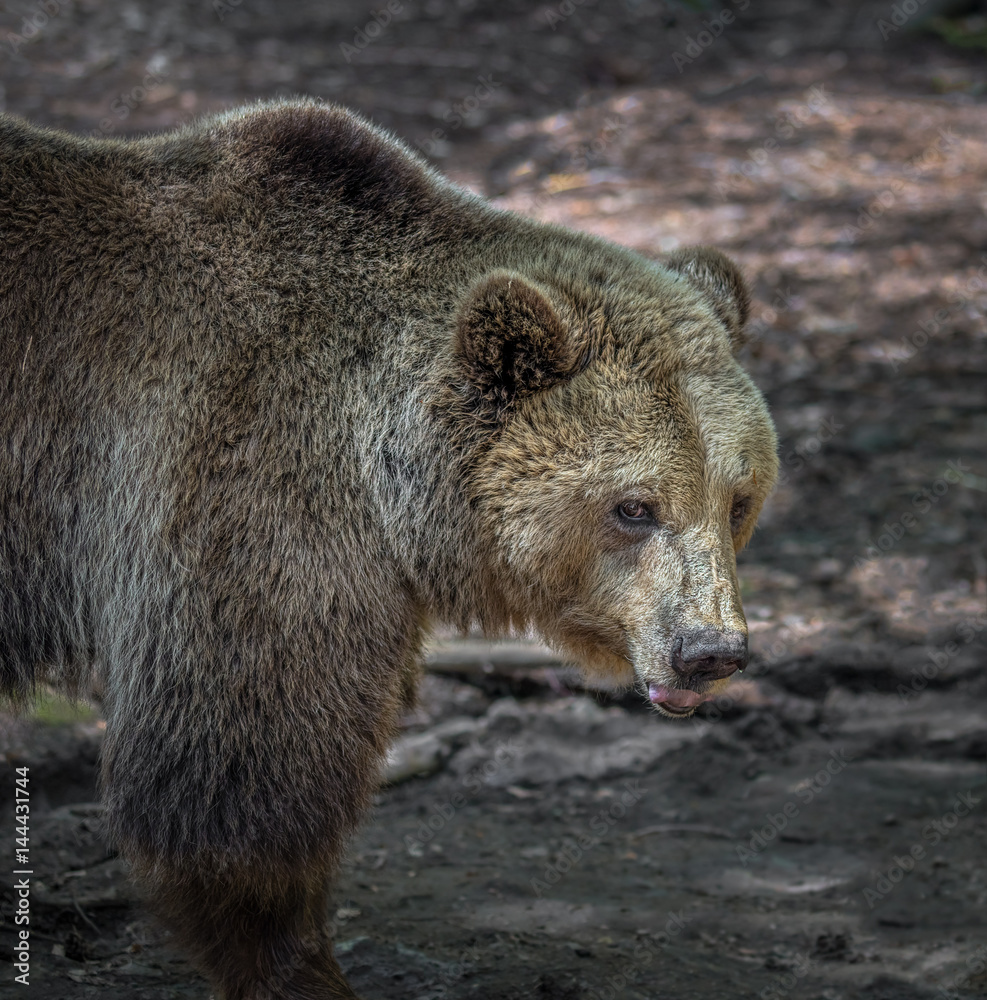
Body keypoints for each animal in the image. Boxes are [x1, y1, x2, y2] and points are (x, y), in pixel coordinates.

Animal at [0, 99, 778, 999]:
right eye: (633, 507)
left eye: (736, 499)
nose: (707, 649)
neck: (386, 477)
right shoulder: (240, 487)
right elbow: (238, 774)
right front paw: (299, 965)